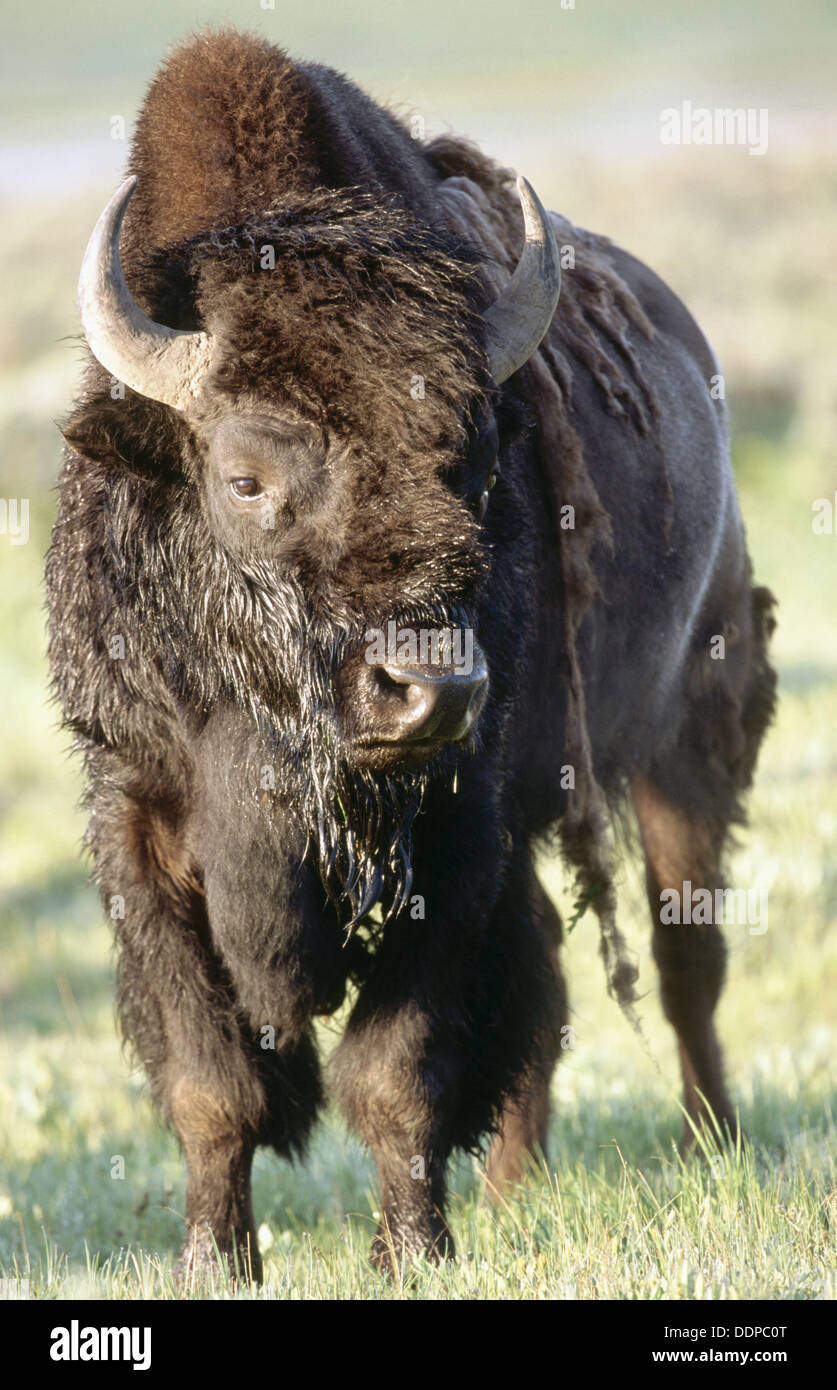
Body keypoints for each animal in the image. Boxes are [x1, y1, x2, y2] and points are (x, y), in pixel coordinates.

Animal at [47, 28, 776, 1280]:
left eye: (477, 458)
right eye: (245, 476)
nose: (427, 690)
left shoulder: (456, 828)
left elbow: (397, 1069)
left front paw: (413, 1253)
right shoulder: (136, 820)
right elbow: (211, 1082)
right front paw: (216, 1260)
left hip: (690, 739)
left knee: (687, 960)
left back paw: (709, 1144)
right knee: (551, 976)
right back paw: (515, 1184)